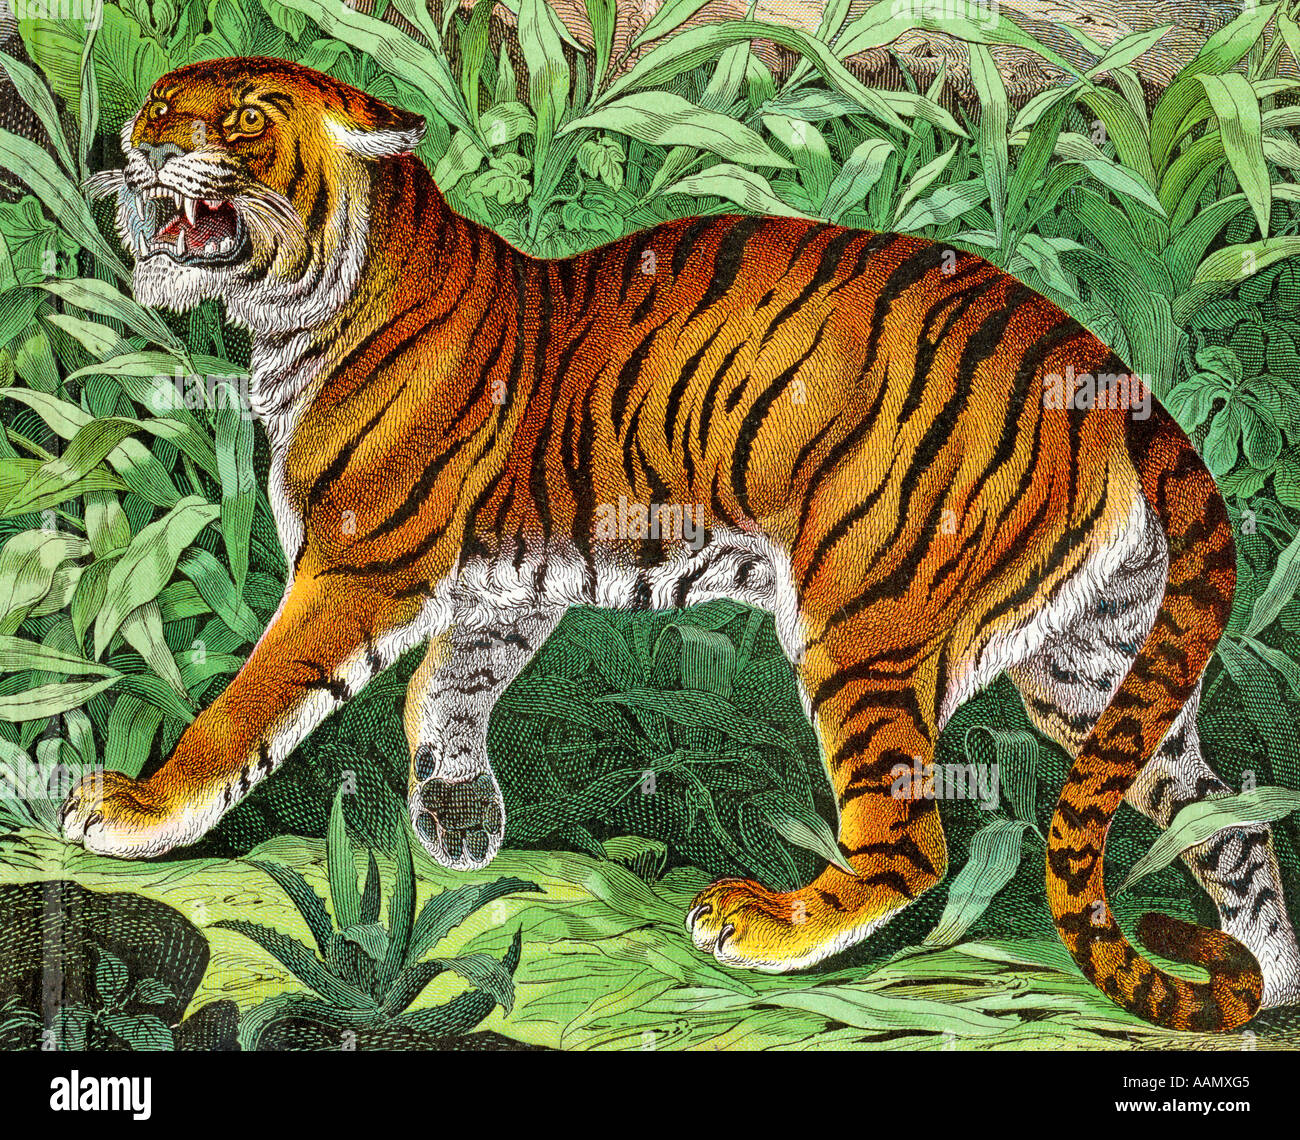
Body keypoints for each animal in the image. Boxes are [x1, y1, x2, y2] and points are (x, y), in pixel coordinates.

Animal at [66, 57, 1300, 1031]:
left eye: (240, 119)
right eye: (161, 104)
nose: (137, 141)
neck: (301, 309)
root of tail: (1103, 366)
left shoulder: (356, 565)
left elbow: (247, 710)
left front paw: (134, 812)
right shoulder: (508, 583)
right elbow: (448, 689)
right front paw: (459, 821)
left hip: (865, 624)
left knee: (911, 841)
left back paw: (767, 925)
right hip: (1092, 674)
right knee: (1232, 829)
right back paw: (1268, 987)